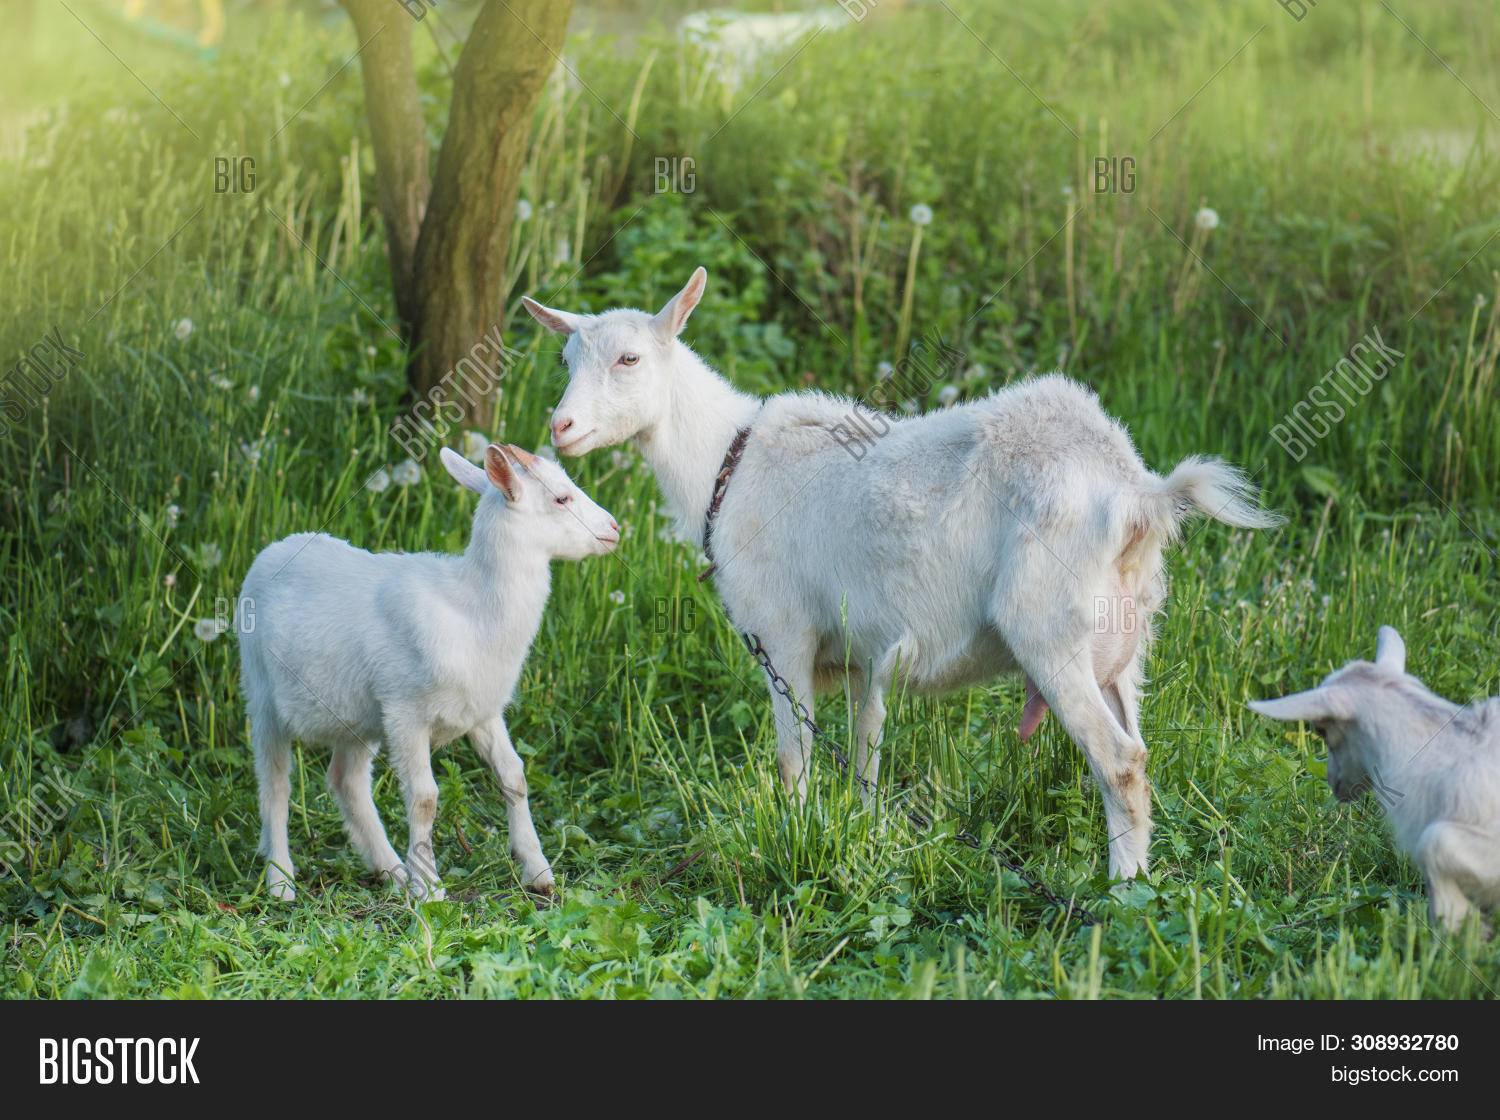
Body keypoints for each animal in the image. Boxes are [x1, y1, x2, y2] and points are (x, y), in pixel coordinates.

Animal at [238, 443, 620, 901]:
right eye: (561, 498)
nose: (614, 528)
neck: (473, 612)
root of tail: (276, 547)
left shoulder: (482, 710)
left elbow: (514, 775)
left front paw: (537, 870)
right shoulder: (406, 714)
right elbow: (424, 798)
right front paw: (430, 888)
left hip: (357, 715)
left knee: (347, 781)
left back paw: (390, 870)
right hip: (261, 691)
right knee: (275, 785)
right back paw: (281, 879)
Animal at [523, 267, 1280, 879]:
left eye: (629, 357)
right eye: (565, 357)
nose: (561, 428)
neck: (725, 465)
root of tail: (1135, 492)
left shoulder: (781, 632)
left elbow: (794, 756)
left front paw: (793, 836)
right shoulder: (862, 650)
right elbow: (865, 750)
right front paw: (860, 830)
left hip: (1050, 626)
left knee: (1119, 762)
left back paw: (1119, 894)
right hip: (1123, 643)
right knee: (1138, 749)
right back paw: (1141, 876)